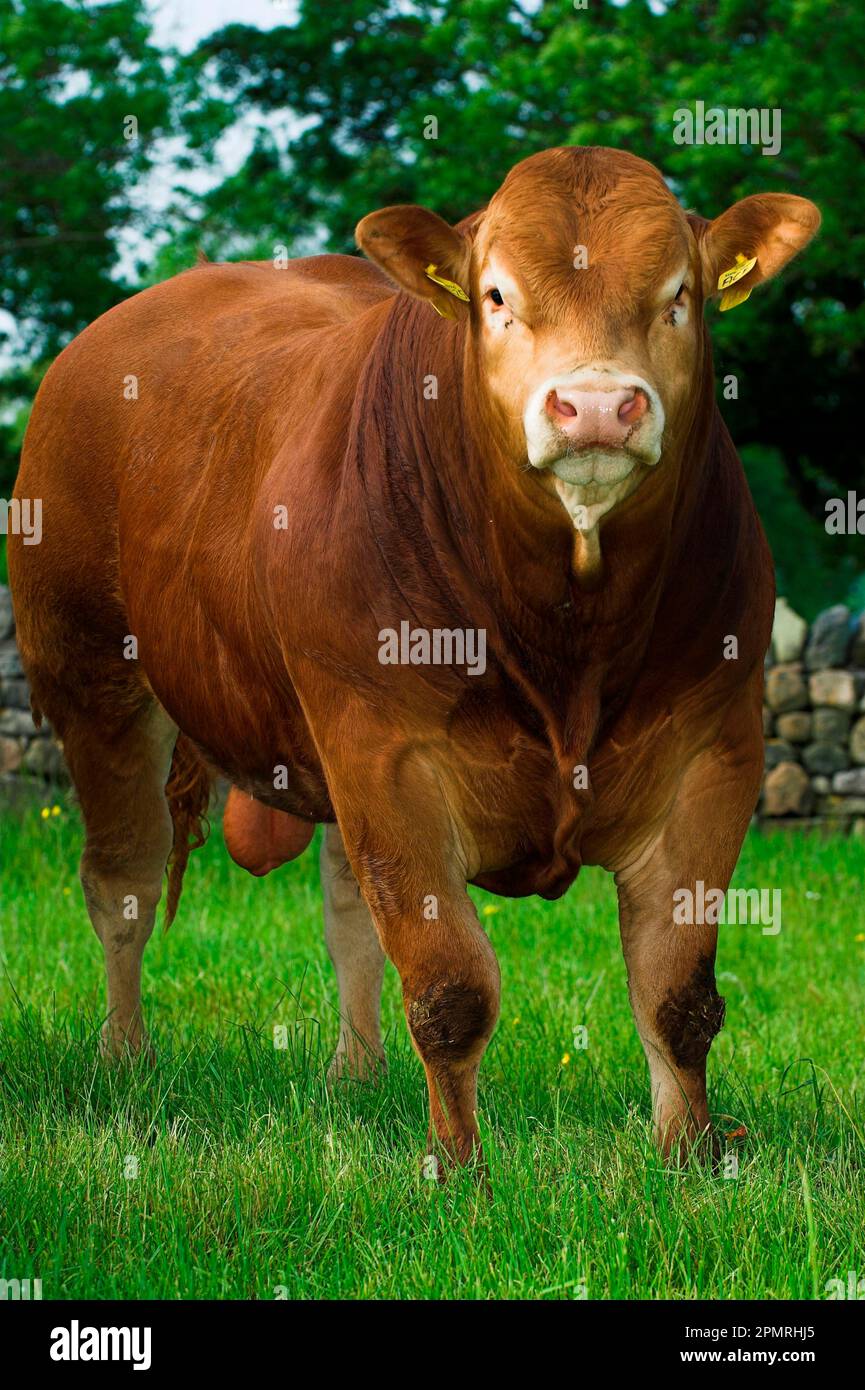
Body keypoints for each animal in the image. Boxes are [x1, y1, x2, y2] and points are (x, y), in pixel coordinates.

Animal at [9, 146, 819, 1171]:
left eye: (681, 293)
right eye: (497, 294)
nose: (597, 406)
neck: (570, 634)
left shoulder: (713, 754)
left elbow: (675, 995)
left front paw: (687, 1162)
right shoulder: (383, 750)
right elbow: (451, 988)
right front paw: (461, 1173)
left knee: (345, 907)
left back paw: (356, 1073)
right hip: (92, 678)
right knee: (124, 880)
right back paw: (124, 1057)